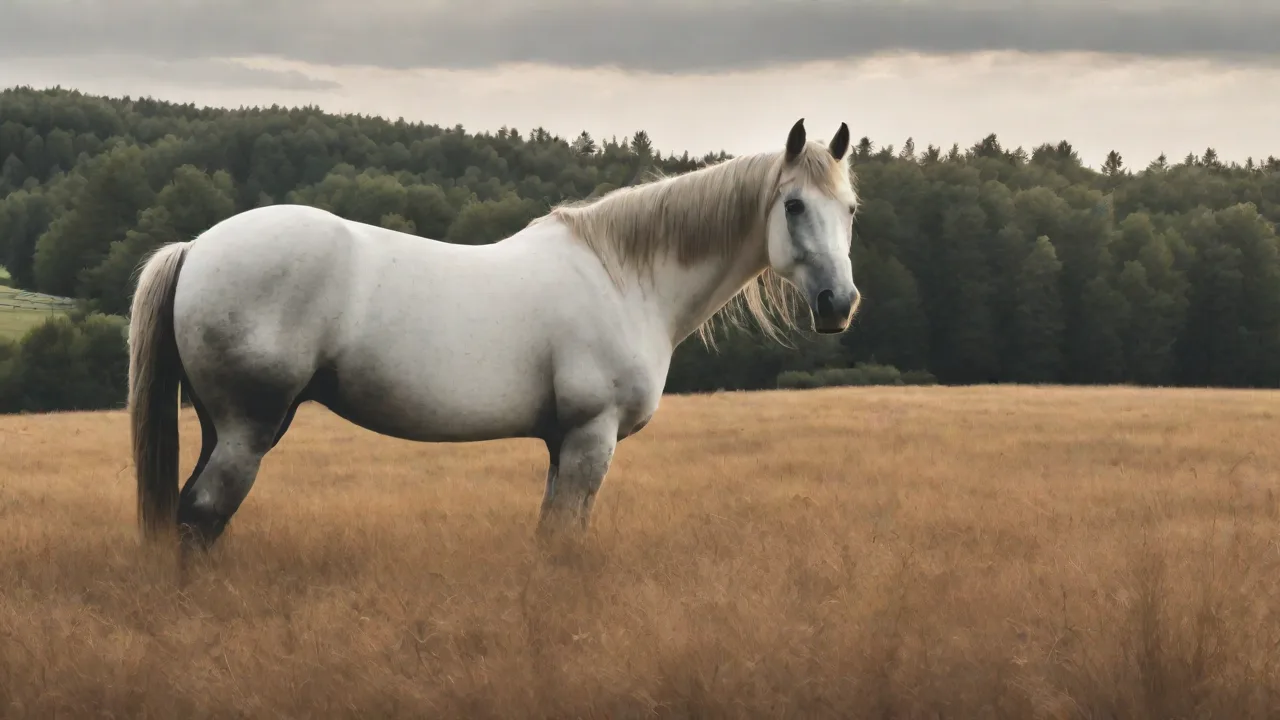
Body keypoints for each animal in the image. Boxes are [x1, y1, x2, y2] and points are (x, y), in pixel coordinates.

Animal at [127, 118, 862, 553]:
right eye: (794, 205)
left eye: (850, 209)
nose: (839, 304)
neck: (623, 278)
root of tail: (197, 248)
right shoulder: (591, 437)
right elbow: (565, 541)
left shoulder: (561, 443)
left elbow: (549, 535)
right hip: (248, 428)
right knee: (201, 516)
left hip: (226, 427)